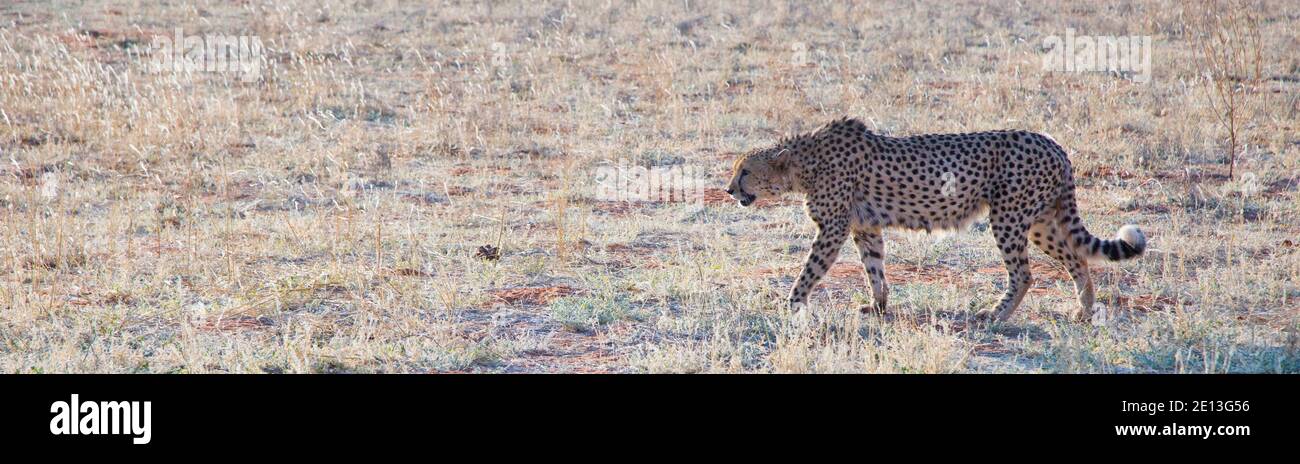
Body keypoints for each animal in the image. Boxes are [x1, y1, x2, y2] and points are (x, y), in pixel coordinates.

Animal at [726, 117, 1146, 322]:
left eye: (744, 171)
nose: (729, 190)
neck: (803, 162)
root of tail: (1053, 142)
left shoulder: (833, 228)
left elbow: (810, 269)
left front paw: (792, 303)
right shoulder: (866, 227)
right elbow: (874, 269)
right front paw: (879, 307)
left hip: (1008, 217)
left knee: (1025, 273)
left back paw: (995, 315)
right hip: (1040, 220)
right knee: (1076, 259)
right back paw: (1083, 311)